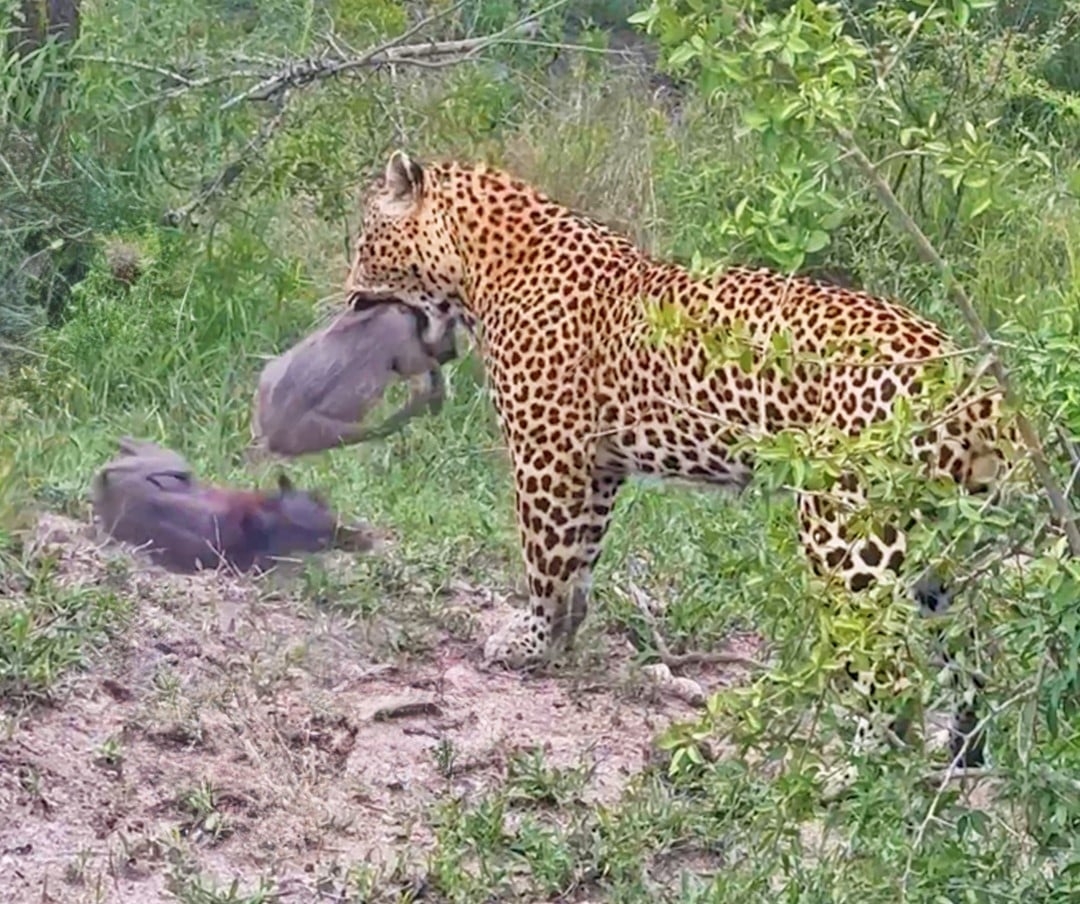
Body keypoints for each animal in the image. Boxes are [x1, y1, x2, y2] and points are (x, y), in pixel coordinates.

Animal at [344, 149, 1018, 767]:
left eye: (365, 241)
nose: (348, 298)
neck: (484, 266)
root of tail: (968, 376)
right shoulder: (599, 466)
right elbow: (579, 561)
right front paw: (561, 641)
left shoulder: (549, 455)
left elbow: (544, 559)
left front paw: (526, 643)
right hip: (947, 534)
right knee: (972, 649)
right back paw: (964, 750)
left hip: (848, 532)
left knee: (889, 666)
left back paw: (857, 770)